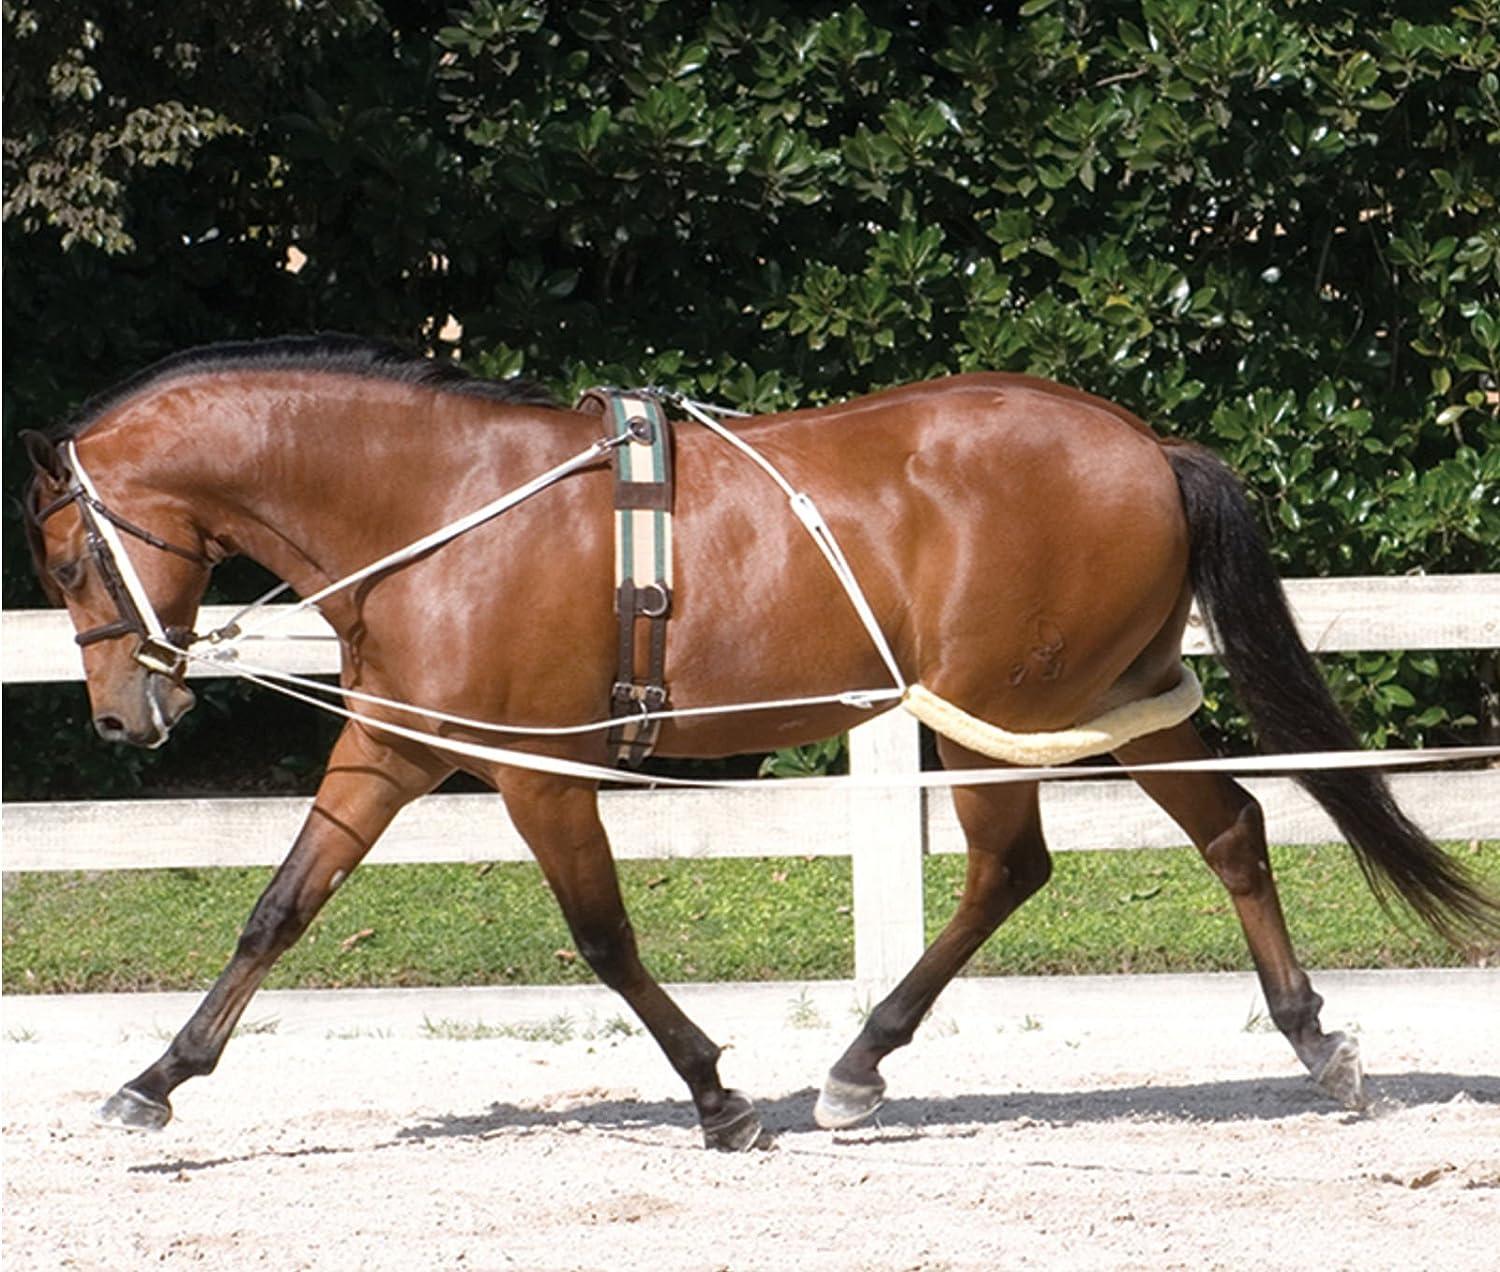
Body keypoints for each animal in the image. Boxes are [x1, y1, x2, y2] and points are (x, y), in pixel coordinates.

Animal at [23, 334, 1497, 1150]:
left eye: (67, 556)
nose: (125, 716)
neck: (440, 505)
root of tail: (1146, 444)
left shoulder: (529, 770)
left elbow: (605, 938)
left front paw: (719, 1101)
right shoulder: (390, 749)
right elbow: (278, 910)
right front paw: (154, 1082)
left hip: (1003, 716)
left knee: (1011, 870)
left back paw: (856, 1069)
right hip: (1115, 700)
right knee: (1230, 828)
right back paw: (1317, 1047)